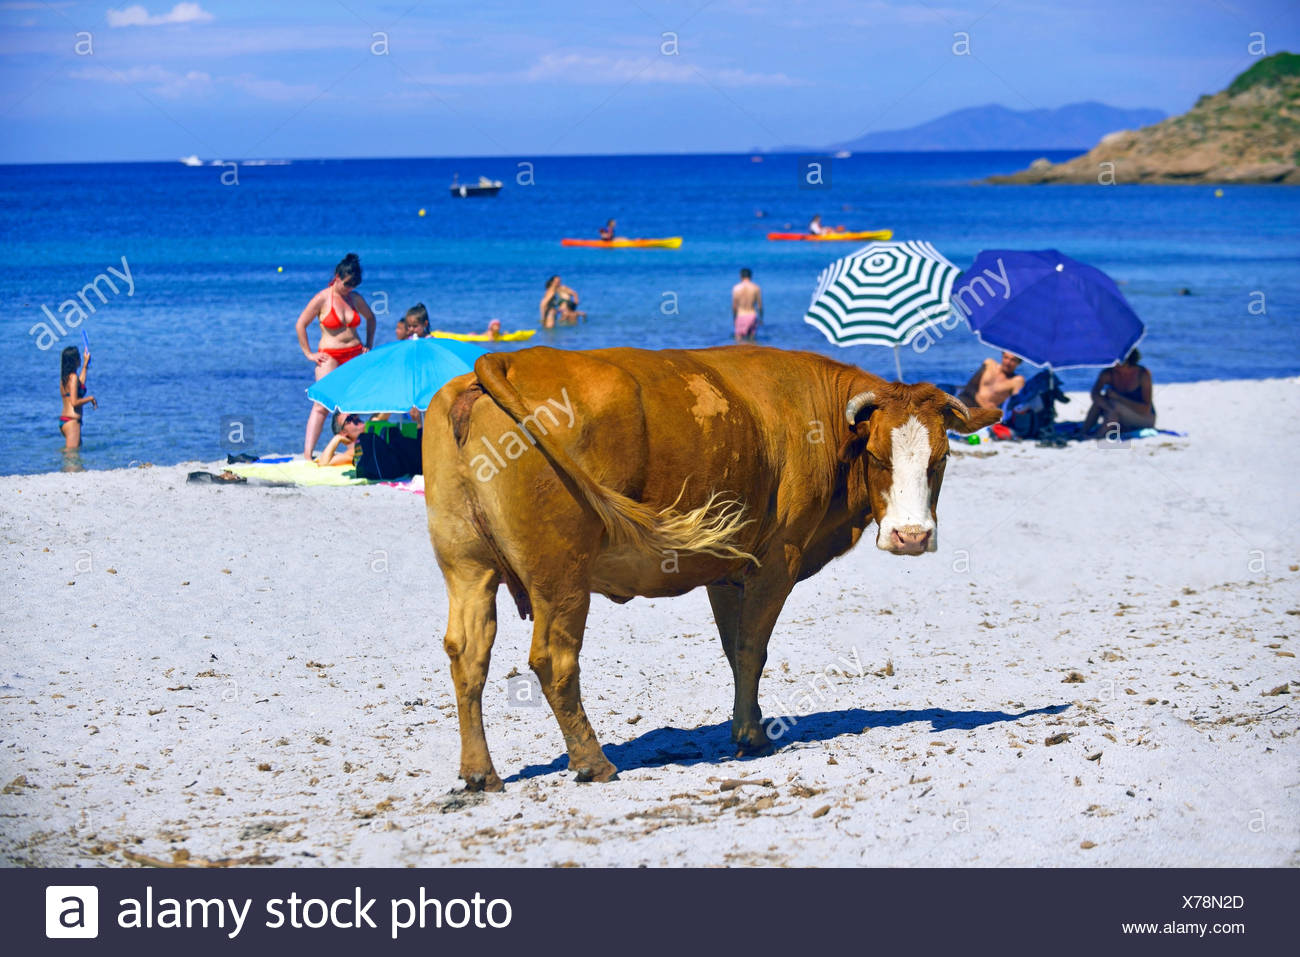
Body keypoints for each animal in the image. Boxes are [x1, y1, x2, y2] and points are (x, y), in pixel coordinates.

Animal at [423, 345, 1000, 791]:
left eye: (941, 459)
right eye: (879, 457)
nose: (912, 536)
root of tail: (508, 361)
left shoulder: (726, 571)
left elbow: (733, 647)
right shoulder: (777, 560)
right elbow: (751, 648)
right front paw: (751, 735)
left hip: (468, 568)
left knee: (467, 655)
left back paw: (479, 773)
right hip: (561, 576)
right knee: (554, 660)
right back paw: (592, 761)